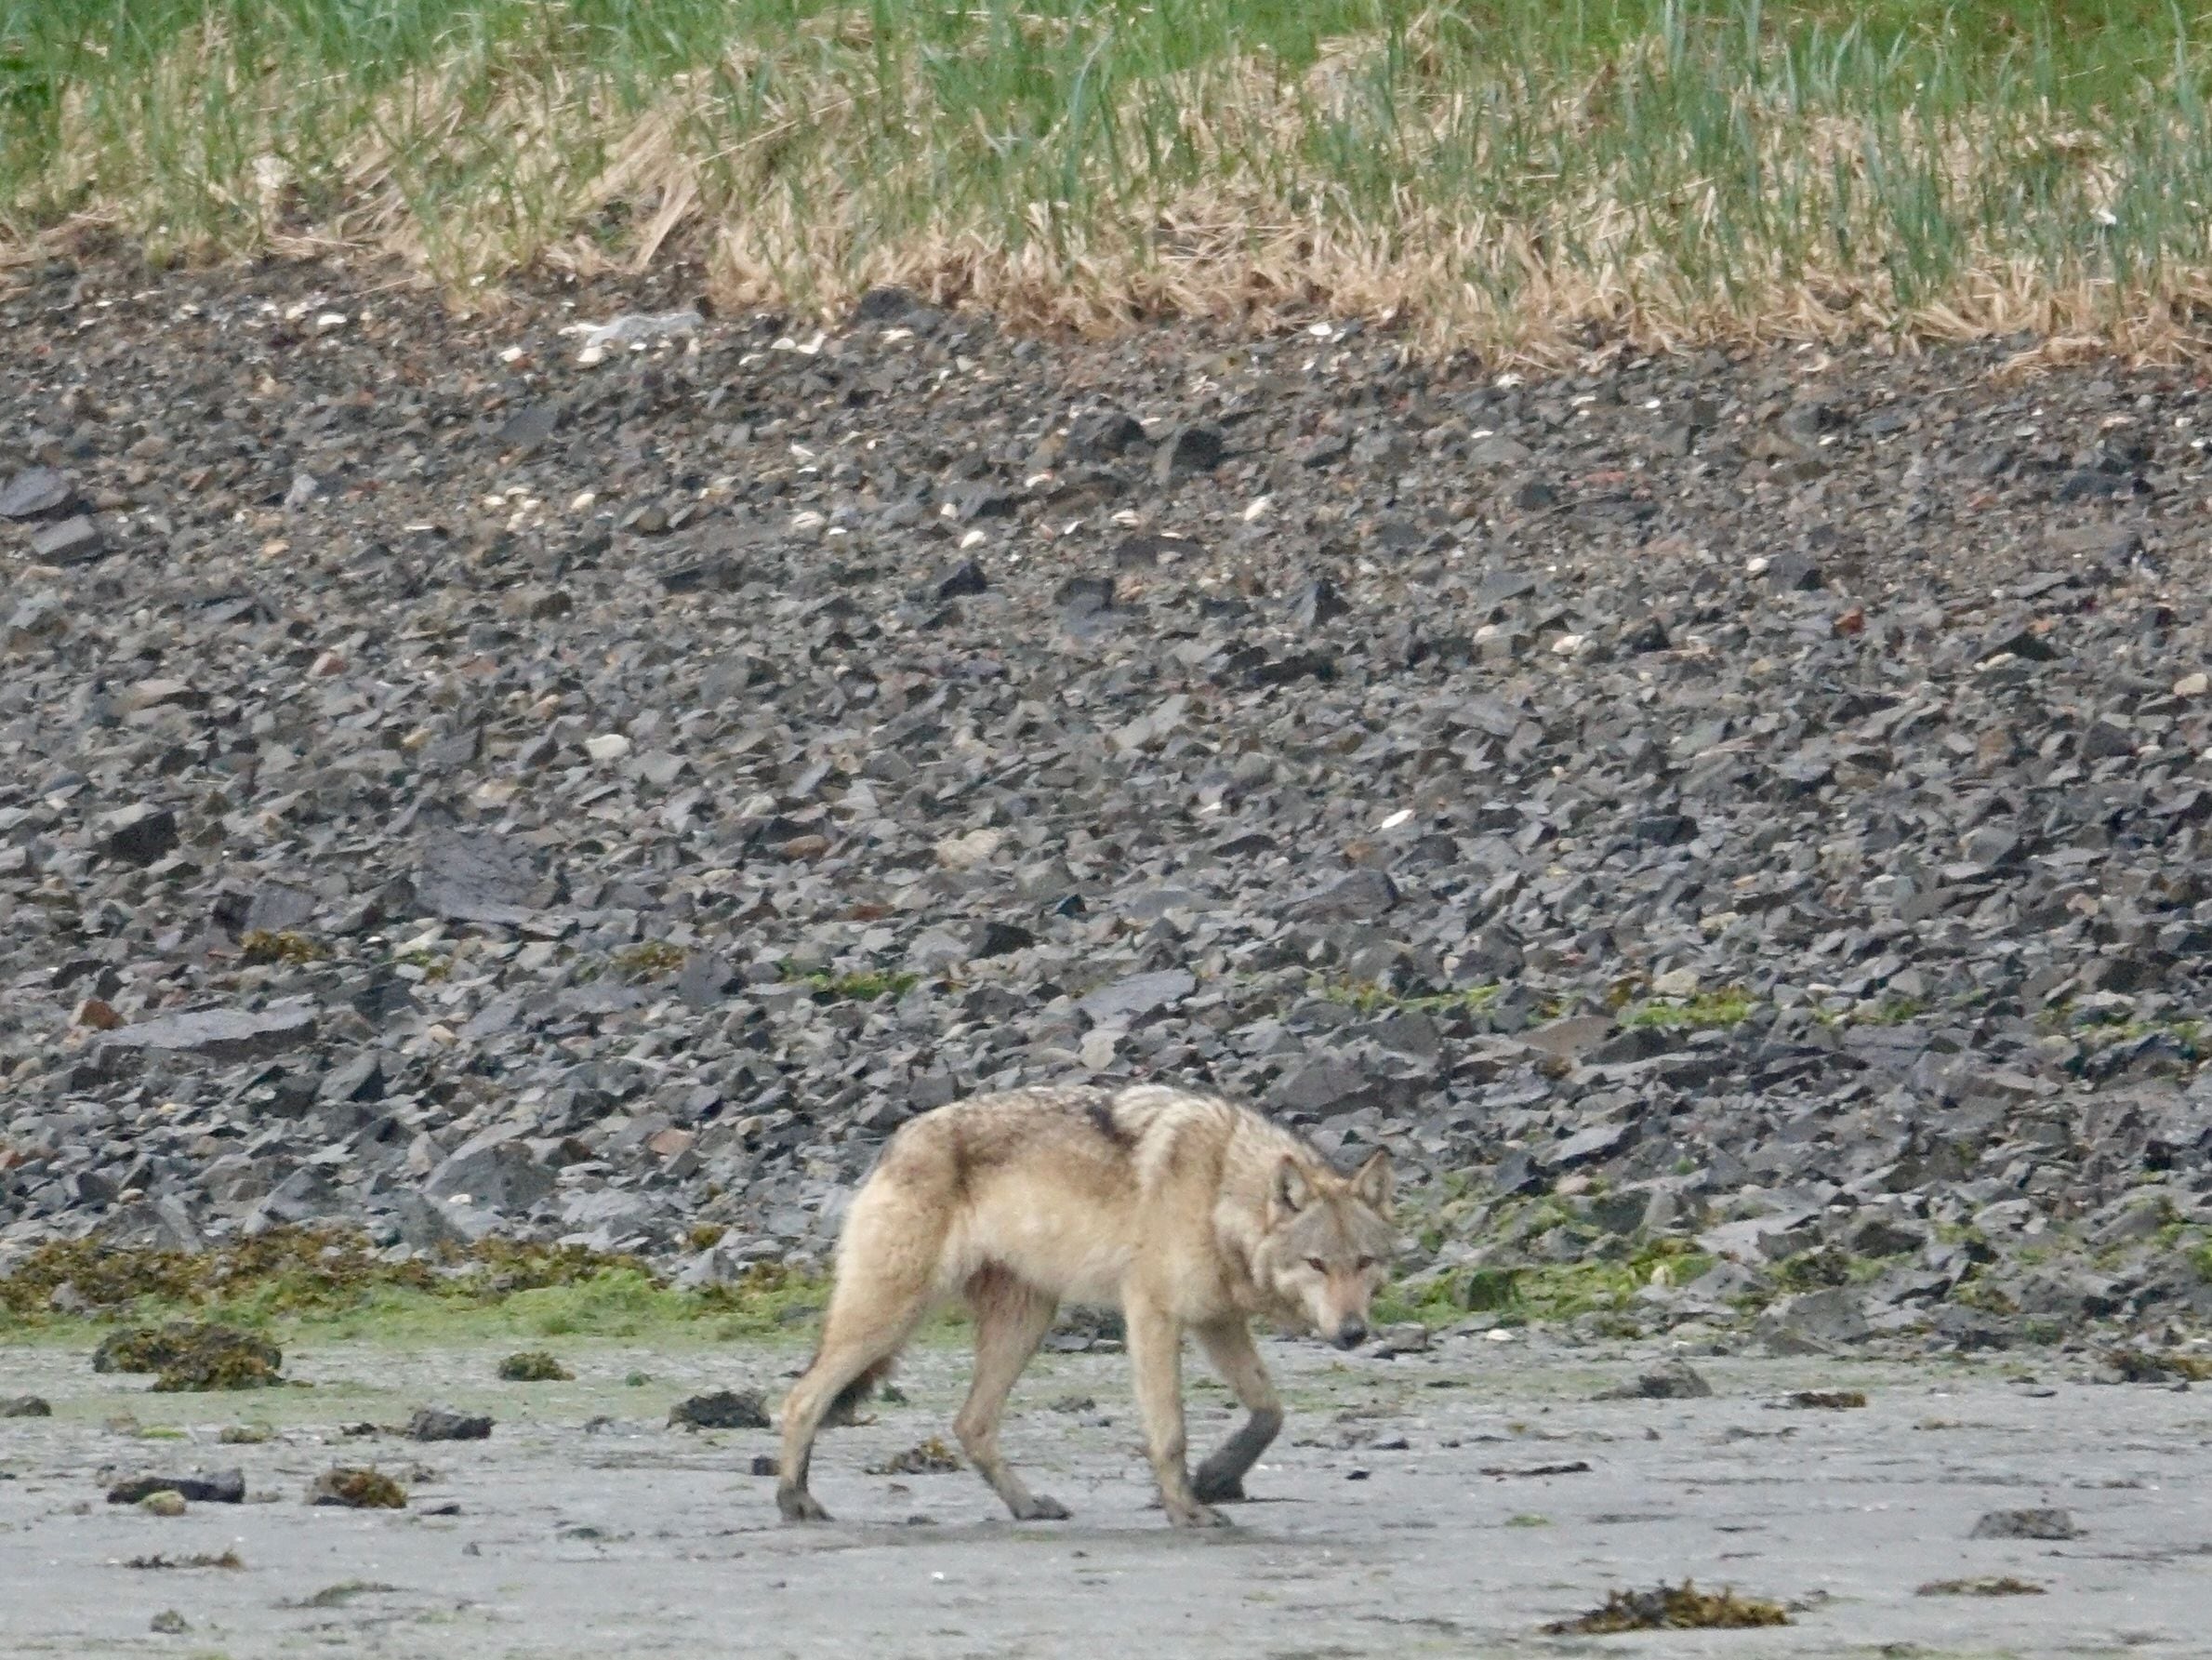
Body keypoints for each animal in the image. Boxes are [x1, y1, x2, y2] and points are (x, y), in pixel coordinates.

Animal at [775, 1082, 1394, 1529]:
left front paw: (1217, 1477)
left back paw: (1027, 1506)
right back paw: (794, 1500)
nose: (1353, 1333)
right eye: (1317, 1264)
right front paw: (1186, 1509)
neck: (1219, 1192)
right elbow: (1170, 1433)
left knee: (970, 1424)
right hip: (892, 1317)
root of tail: (895, 1142)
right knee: (802, 1398)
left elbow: (1270, 1412)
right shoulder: (1152, 1316)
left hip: (1023, 1324)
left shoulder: (1218, 1322)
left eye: (1364, 1263)